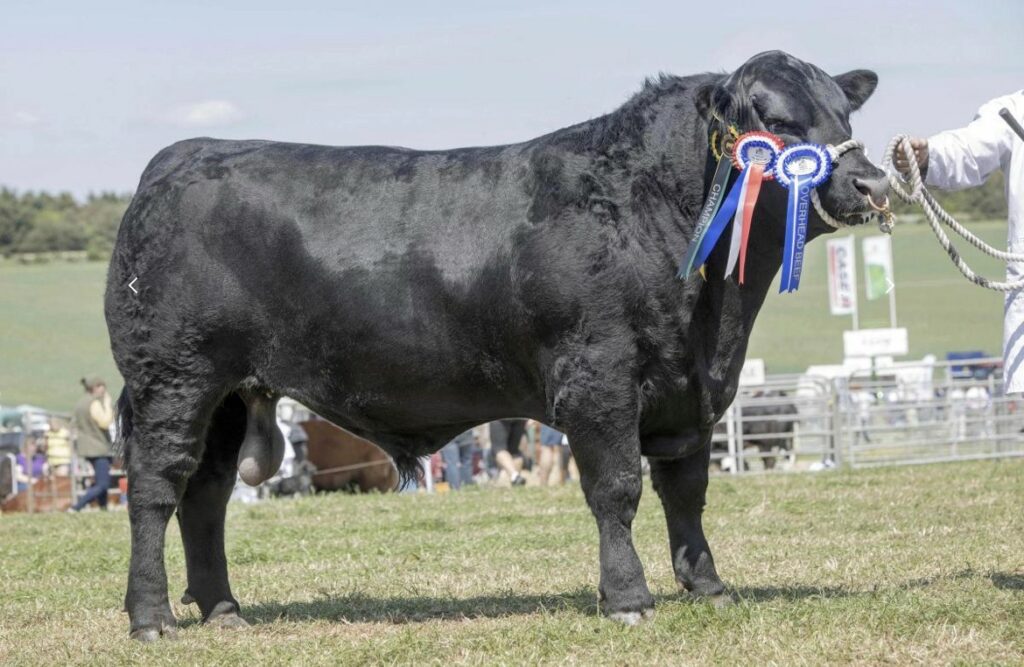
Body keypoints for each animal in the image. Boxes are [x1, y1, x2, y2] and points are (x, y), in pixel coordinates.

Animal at [105, 50, 888, 639]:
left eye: (845, 115)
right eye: (778, 122)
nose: (872, 181)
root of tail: (176, 158)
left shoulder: (687, 391)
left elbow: (686, 493)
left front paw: (707, 583)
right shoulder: (599, 381)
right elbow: (617, 489)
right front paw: (627, 597)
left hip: (230, 393)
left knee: (206, 493)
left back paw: (223, 610)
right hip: (174, 377)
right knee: (156, 487)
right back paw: (151, 617)